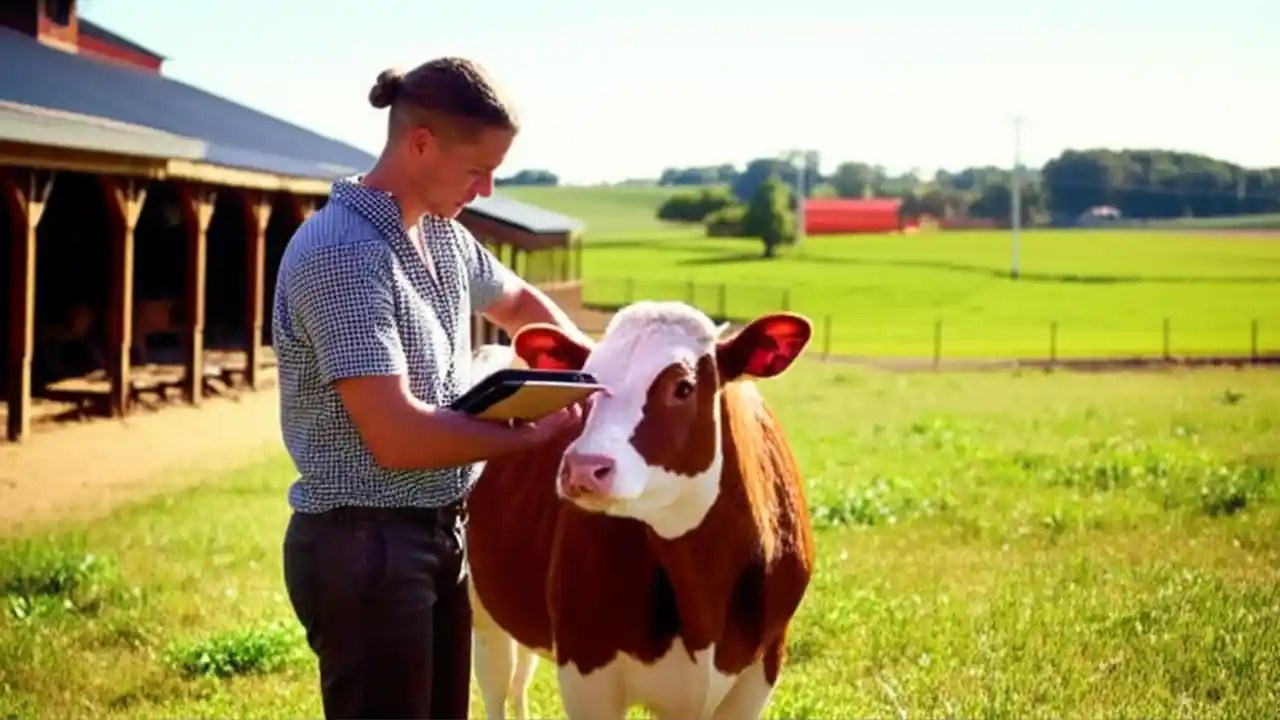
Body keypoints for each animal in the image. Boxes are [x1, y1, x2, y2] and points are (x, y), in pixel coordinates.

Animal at [464, 300, 816, 720]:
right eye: (588, 383)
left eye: (683, 387)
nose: (584, 467)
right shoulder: (586, 667)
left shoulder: (760, 671)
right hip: (483, 612)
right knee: (497, 688)